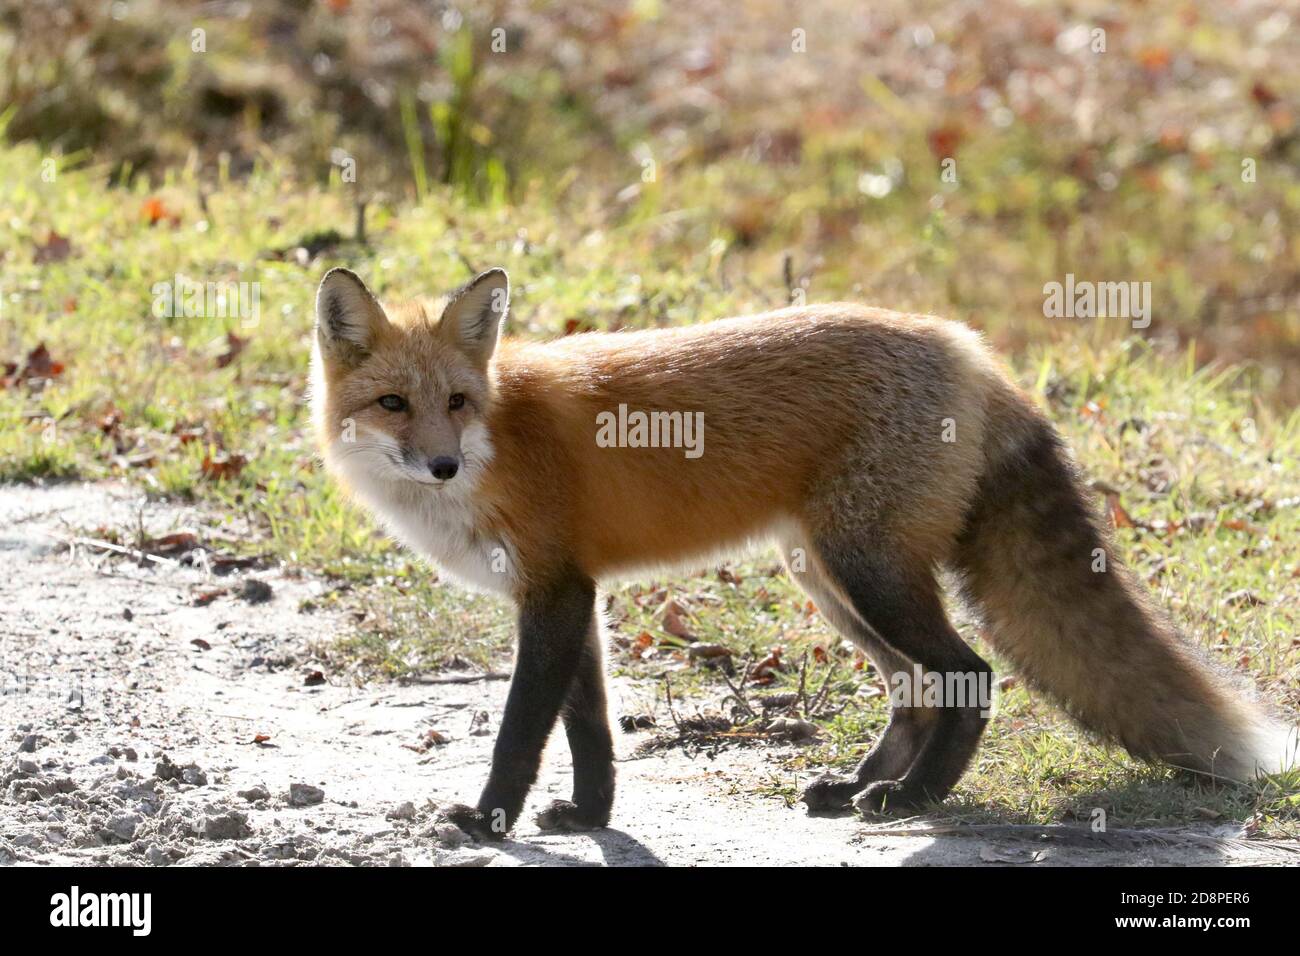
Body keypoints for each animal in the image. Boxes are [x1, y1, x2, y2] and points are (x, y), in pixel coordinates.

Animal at [310, 265, 1296, 841]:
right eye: (394, 404)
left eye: (458, 402)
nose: (441, 463)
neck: (501, 446)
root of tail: (971, 348)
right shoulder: (567, 591)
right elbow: (590, 727)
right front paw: (588, 814)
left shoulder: (554, 594)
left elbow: (523, 728)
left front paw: (487, 819)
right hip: (828, 580)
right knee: (914, 690)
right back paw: (859, 784)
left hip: (867, 572)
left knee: (967, 675)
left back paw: (912, 801)